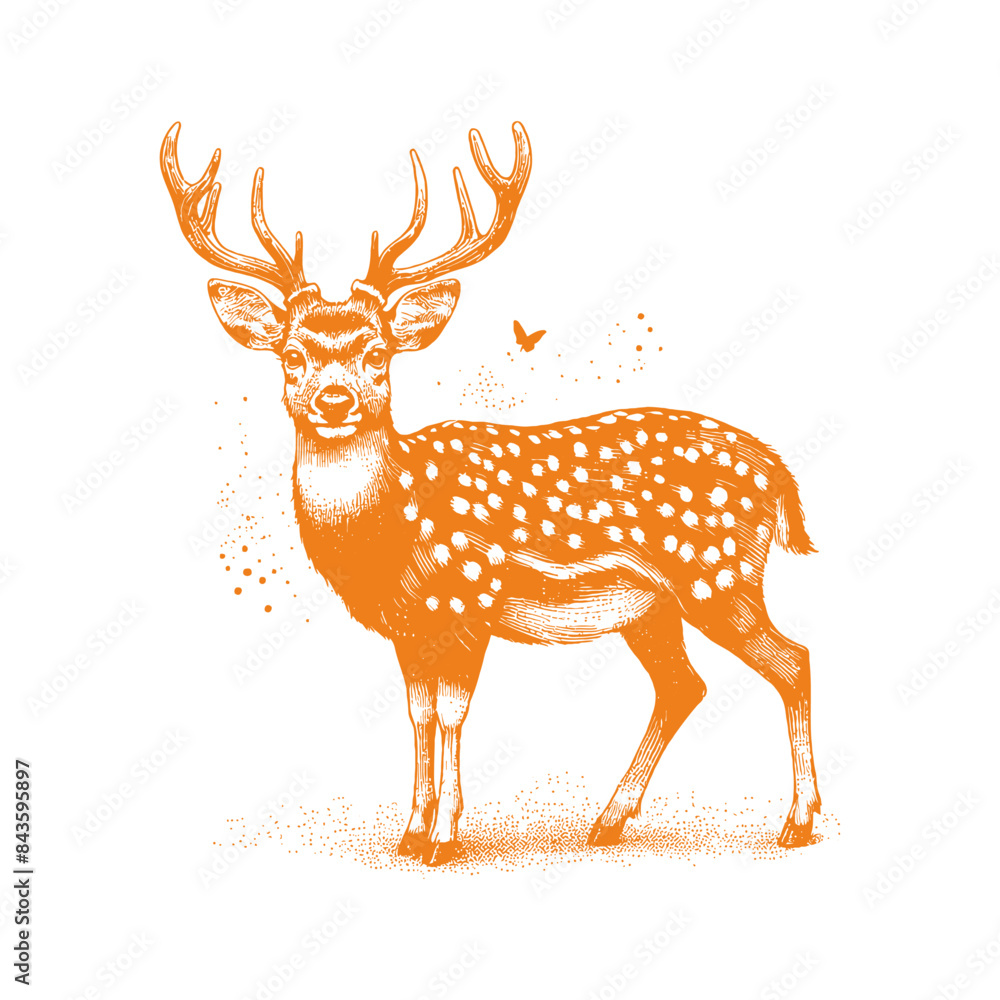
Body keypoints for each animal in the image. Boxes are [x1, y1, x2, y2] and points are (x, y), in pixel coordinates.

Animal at [160, 120, 820, 866]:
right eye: (291, 356)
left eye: (379, 354)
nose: (334, 401)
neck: (394, 531)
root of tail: (776, 468)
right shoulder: (410, 629)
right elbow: (418, 714)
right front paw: (410, 833)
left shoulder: (468, 604)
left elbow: (452, 713)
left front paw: (444, 837)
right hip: (652, 606)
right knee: (684, 685)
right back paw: (609, 821)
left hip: (718, 575)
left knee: (791, 661)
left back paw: (797, 823)